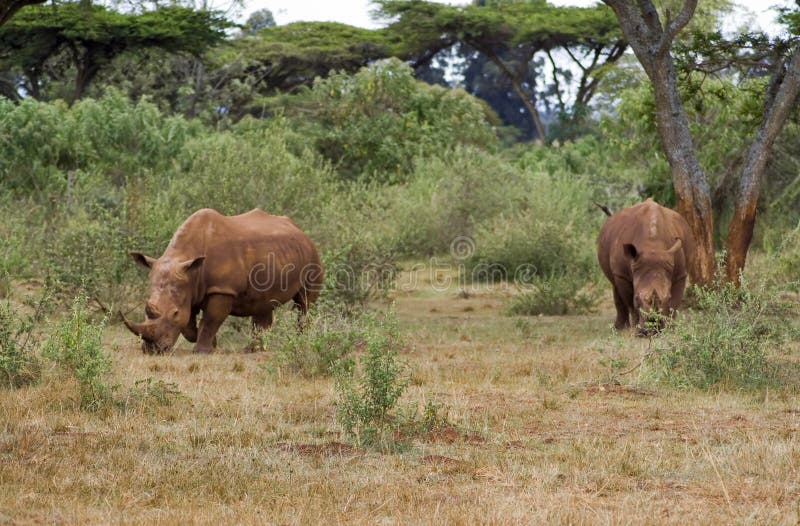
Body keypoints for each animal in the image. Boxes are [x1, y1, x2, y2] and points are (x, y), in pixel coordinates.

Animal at [123, 208, 323, 354]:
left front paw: (203, 351)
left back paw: (299, 342)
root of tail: (301, 232)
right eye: (146, 311)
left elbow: (211, 319)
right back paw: (253, 350)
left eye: (174, 313)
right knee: (264, 303)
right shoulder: (189, 284)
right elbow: (190, 324)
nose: (153, 350)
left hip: (312, 257)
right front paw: (211, 343)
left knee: (305, 303)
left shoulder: (222, 288)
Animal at [597, 198, 695, 335]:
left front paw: (671, 328)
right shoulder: (622, 274)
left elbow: (675, 303)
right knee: (615, 285)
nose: (653, 327)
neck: (652, 247)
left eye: (668, 298)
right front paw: (635, 328)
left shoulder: (680, 273)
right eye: (637, 298)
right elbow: (630, 302)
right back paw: (620, 329)